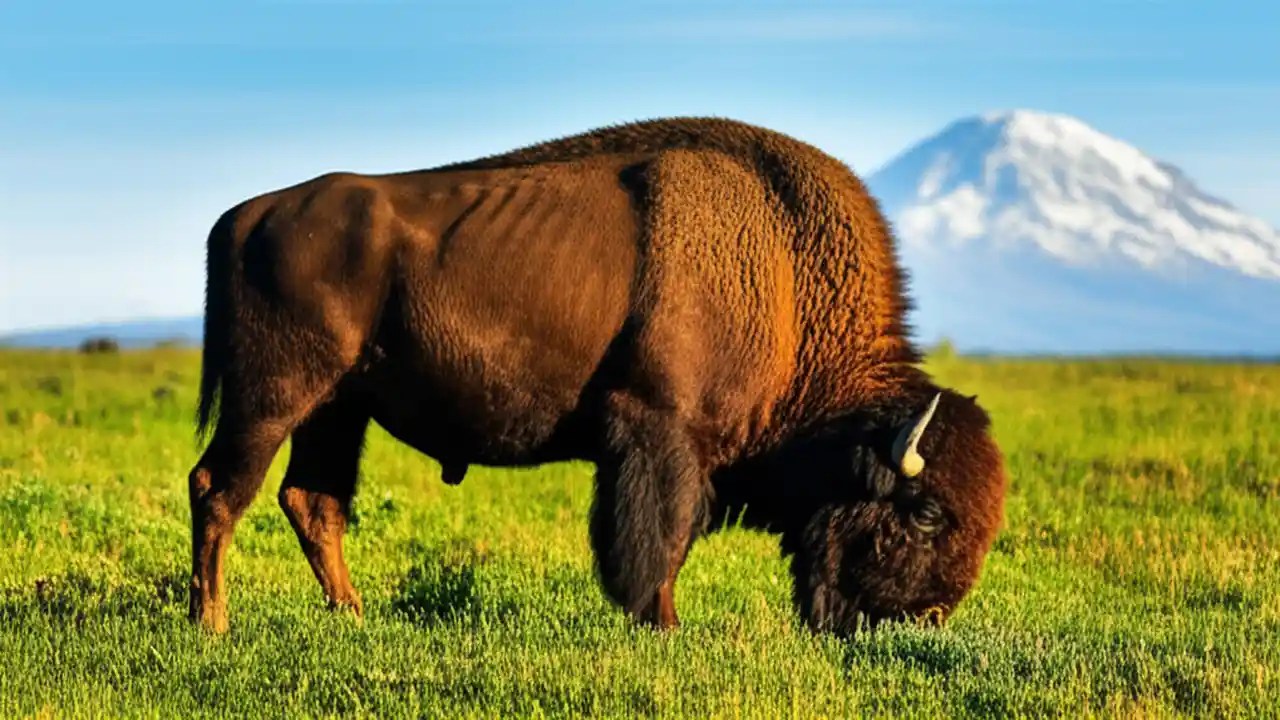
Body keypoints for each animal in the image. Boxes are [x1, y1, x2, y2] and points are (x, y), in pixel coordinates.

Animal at [187, 117, 1006, 635]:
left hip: (336, 407)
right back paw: (213, 624)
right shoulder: (659, 432)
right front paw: (663, 626)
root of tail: (245, 214)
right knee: (218, 488)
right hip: (273, 396)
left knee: (312, 502)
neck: (781, 272)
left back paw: (352, 617)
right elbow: (657, 543)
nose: (924, 623)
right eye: (926, 513)